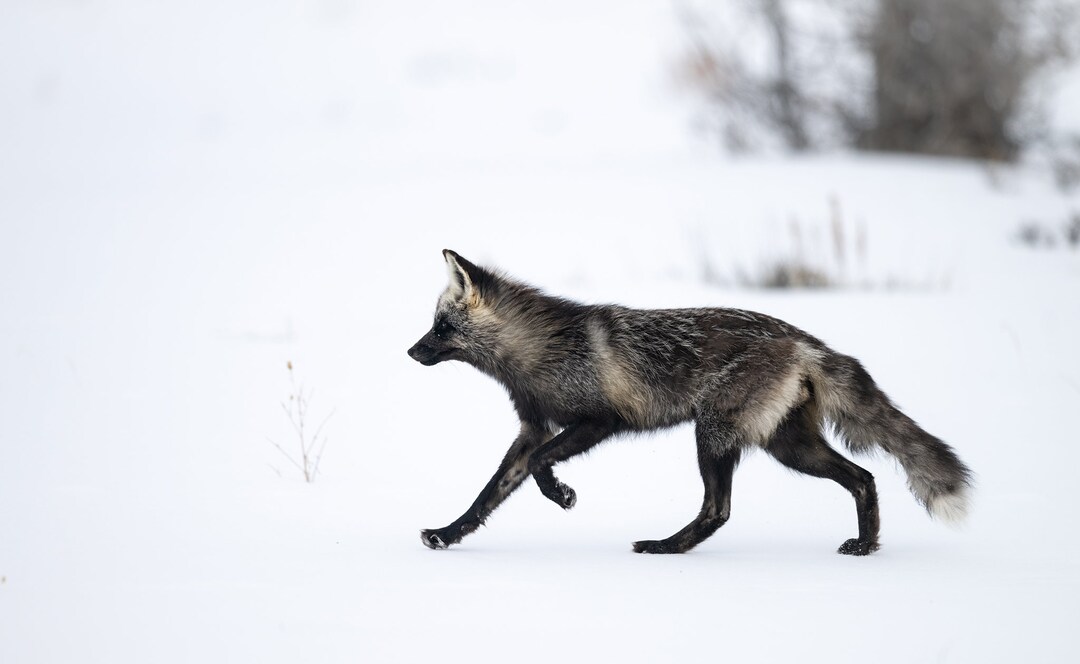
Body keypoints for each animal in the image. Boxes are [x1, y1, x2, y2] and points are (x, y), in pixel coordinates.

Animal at [408, 249, 973, 555]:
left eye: (441, 327)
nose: (410, 352)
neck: (536, 354)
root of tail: (803, 340)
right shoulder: (533, 427)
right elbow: (488, 494)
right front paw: (447, 535)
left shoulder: (600, 420)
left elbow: (544, 465)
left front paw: (562, 495)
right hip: (788, 445)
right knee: (864, 478)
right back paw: (865, 546)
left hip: (715, 434)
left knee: (718, 510)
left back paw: (663, 548)